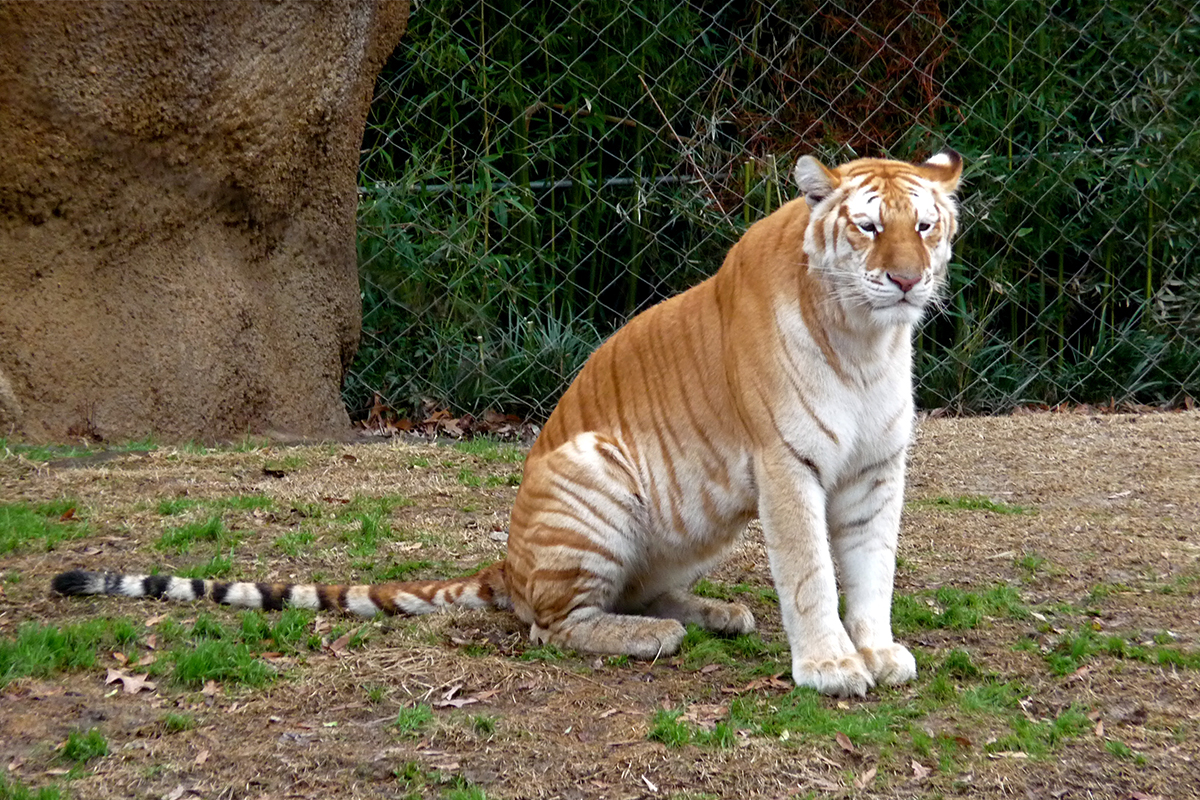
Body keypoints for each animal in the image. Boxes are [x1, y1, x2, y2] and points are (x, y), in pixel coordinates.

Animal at [53, 149, 963, 697]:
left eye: (925, 225)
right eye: (868, 228)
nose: (907, 281)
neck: (867, 342)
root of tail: (509, 561)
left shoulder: (878, 469)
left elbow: (870, 569)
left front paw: (877, 649)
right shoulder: (785, 465)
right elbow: (810, 570)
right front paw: (831, 667)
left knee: (638, 587)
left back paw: (713, 614)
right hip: (595, 475)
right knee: (553, 625)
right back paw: (653, 637)